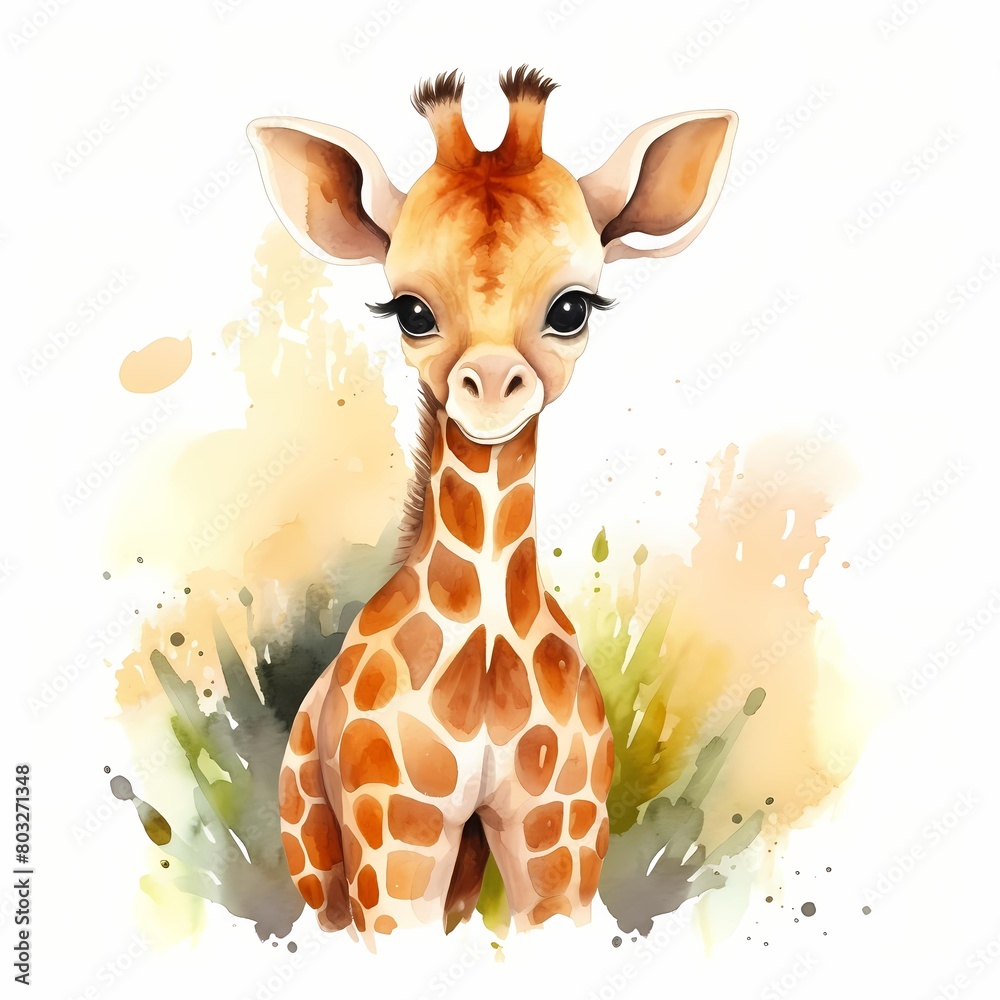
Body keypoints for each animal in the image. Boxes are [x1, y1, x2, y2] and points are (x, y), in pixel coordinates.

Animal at [248, 66, 736, 947]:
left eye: (572, 307)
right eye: (411, 311)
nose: (491, 388)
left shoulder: (560, 837)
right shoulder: (394, 840)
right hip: (322, 863)